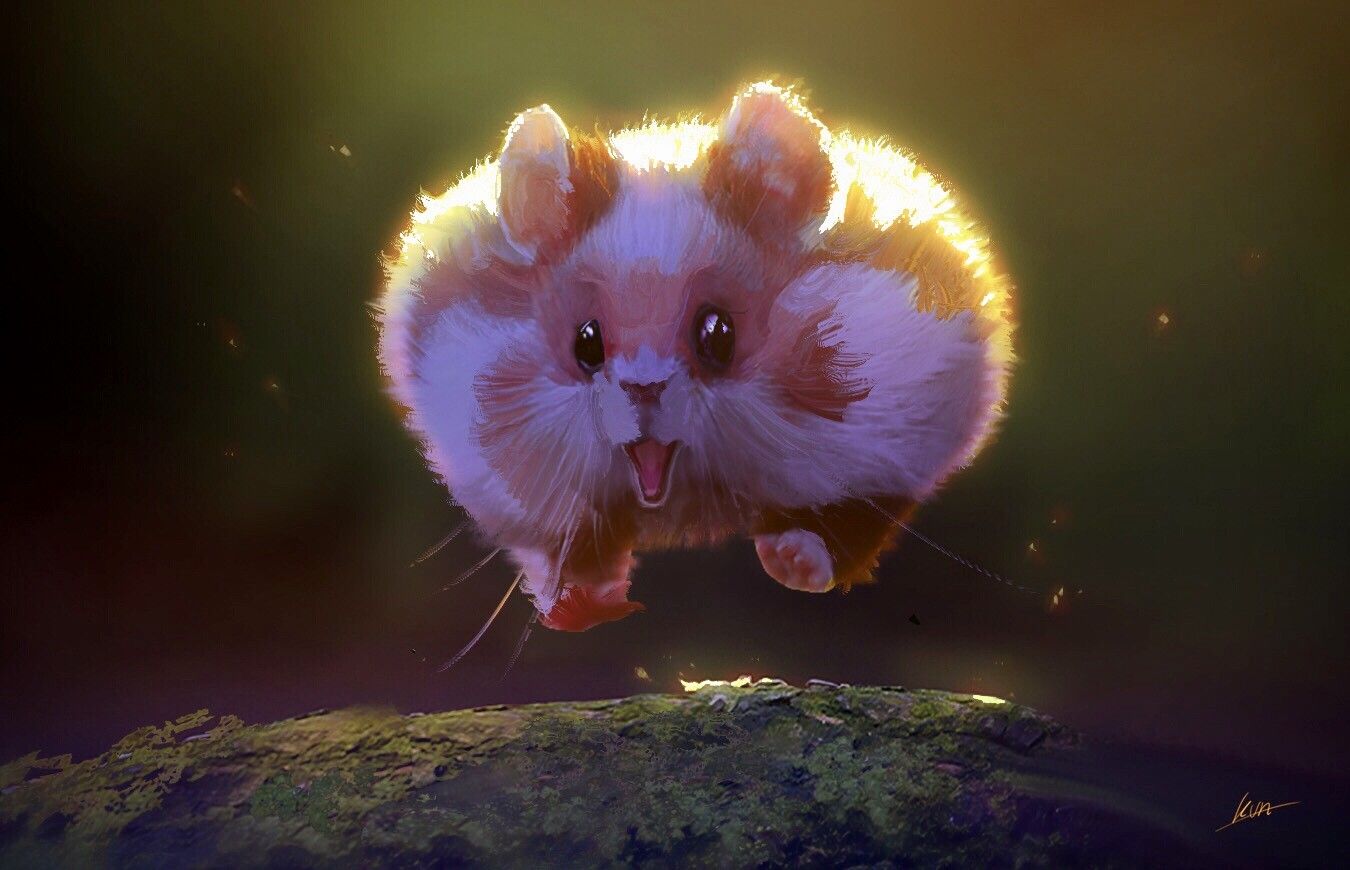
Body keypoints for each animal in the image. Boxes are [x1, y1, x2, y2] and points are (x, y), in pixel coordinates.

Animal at [378, 82, 1014, 633]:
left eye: (719, 333)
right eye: (586, 343)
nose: (644, 389)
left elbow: (853, 520)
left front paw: (792, 563)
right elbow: (556, 552)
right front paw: (586, 607)